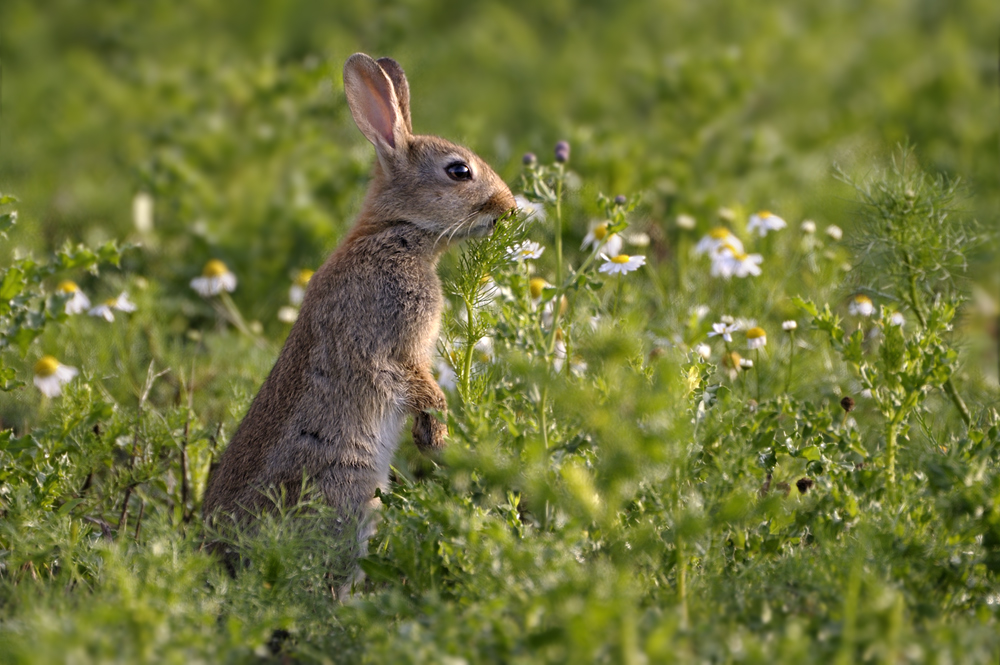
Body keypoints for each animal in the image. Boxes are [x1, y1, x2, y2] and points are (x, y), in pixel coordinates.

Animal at [202, 53, 516, 580]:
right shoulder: (393, 340)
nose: (509, 208)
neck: (396, 232)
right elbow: (417, 385)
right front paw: (439, 438)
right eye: (459, 171)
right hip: (344, 497)